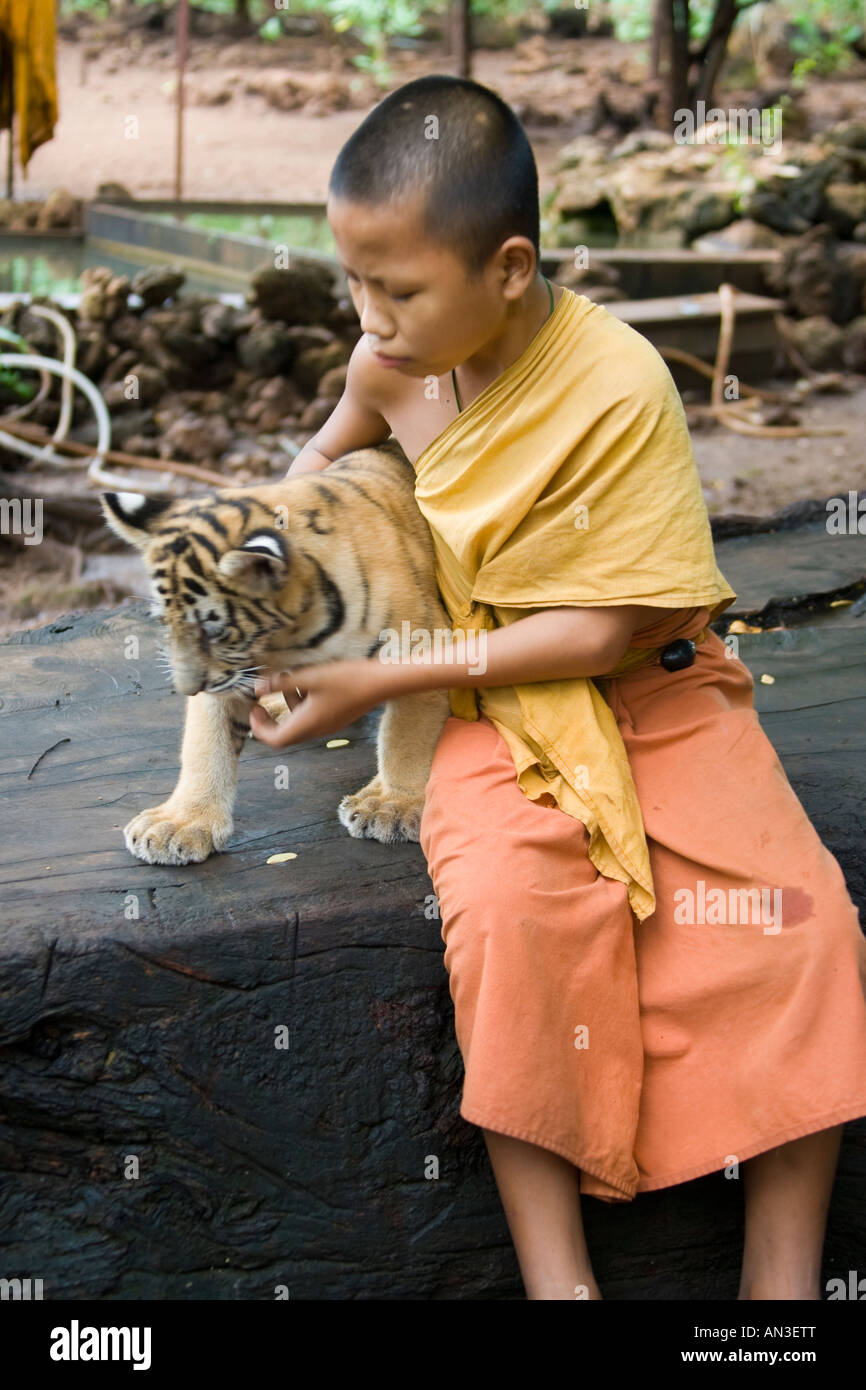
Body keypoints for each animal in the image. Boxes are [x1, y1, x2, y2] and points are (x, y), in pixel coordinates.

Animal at [100, 439, 452, 866]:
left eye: (213, 629)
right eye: (165, 623)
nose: (187, 689)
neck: (291, 635)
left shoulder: (424, 643)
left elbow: (406, 733)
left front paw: (391, 807)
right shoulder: (229, 677)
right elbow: (205, 744)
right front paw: (179, 824)